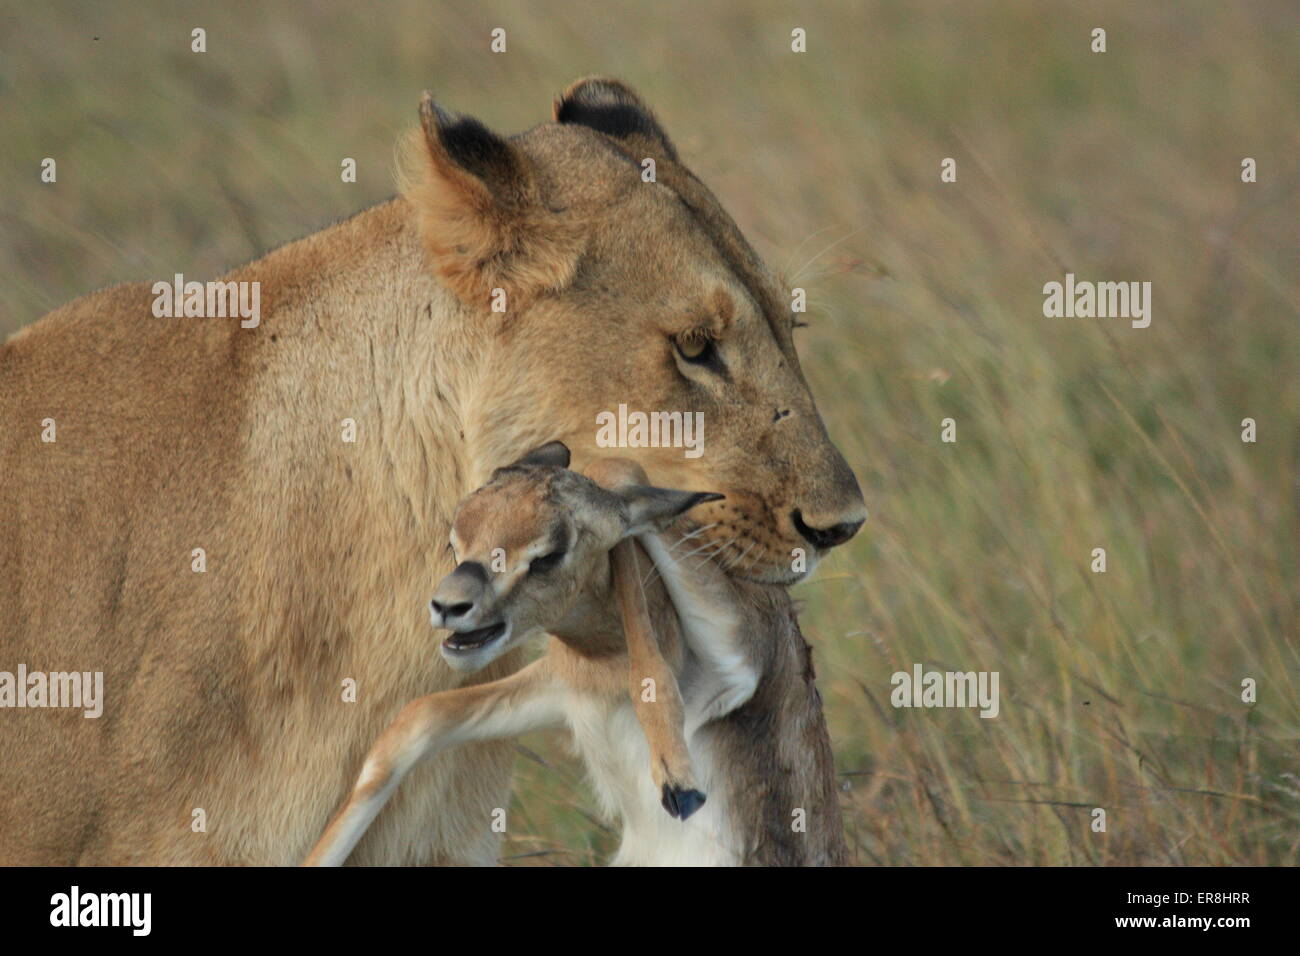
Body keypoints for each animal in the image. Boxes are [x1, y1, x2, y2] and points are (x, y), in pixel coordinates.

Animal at [304, 442, 847, 866]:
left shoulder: (734, 662)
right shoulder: (562, 692)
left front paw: (677, 777)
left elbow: (617, 474)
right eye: (455, 538)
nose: (449, 606)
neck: (604, 663)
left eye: (547, 553)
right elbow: (415, 720)